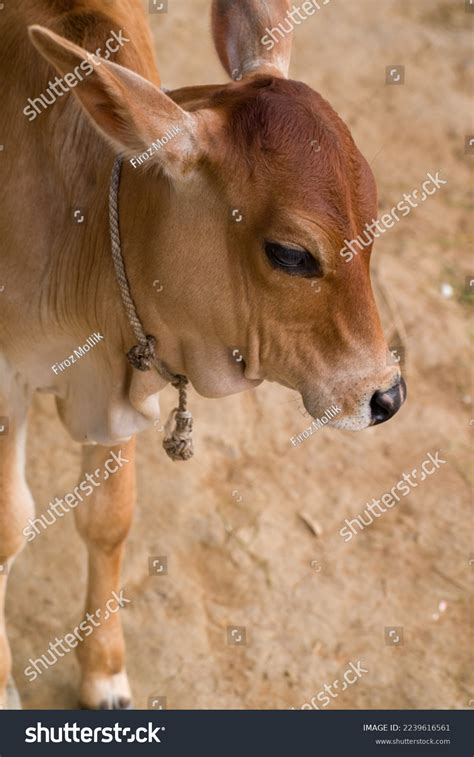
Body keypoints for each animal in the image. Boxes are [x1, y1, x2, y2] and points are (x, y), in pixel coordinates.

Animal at [0, 0, 406, 709]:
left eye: (375, 220)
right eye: (291, 254)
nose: (386, 394)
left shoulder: (123, 368)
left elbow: (108, 518)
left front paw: (104, 672)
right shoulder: (5, 381)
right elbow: (6, 528)